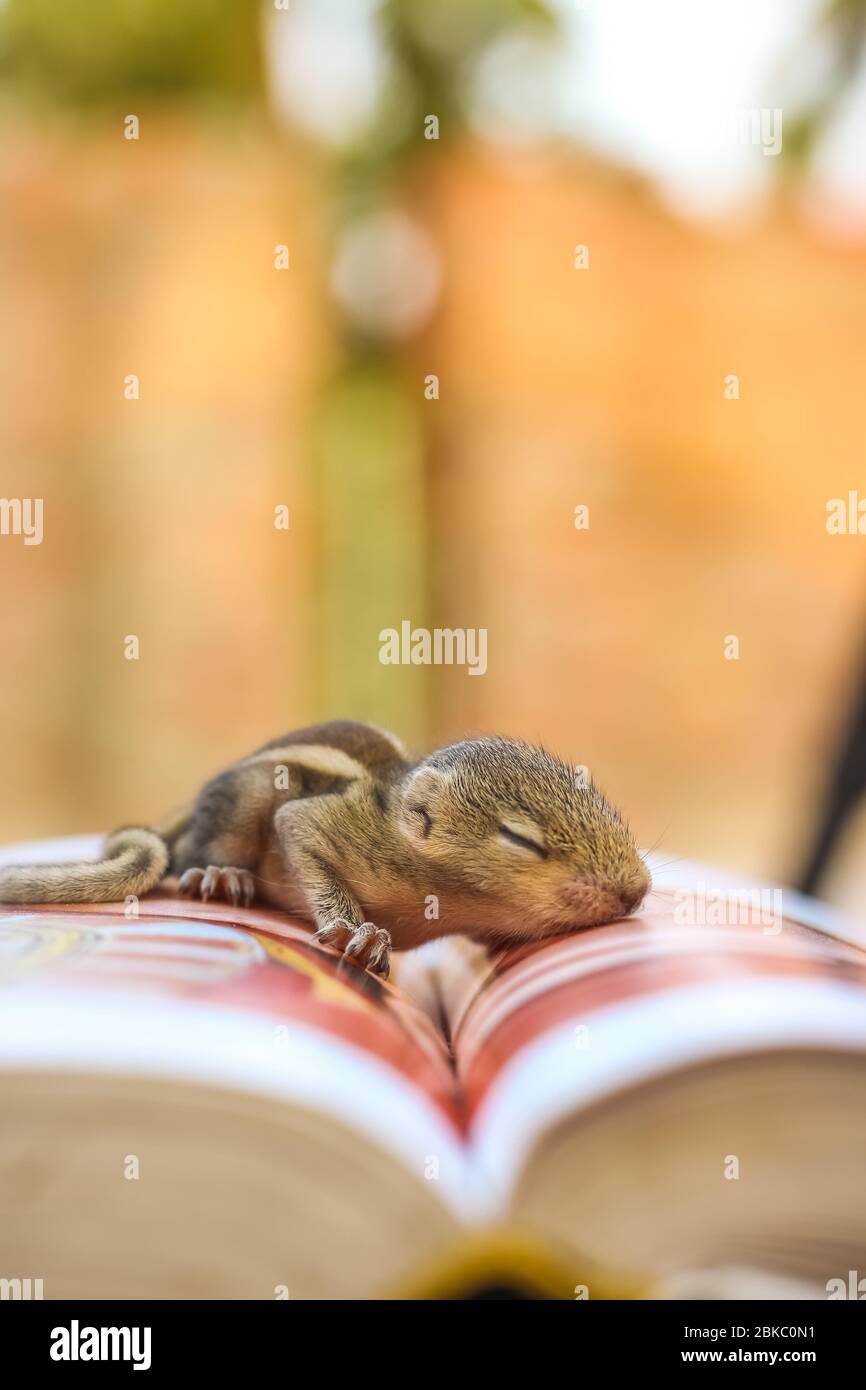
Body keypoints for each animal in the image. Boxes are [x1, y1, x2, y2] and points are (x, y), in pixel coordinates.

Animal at [0, 720, 650, 979]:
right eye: (520, 838)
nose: (639, 889)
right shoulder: (318, 824)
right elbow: (299, 828)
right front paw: (356, 933)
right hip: (244, 804)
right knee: (190, 855)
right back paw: (217, 874)